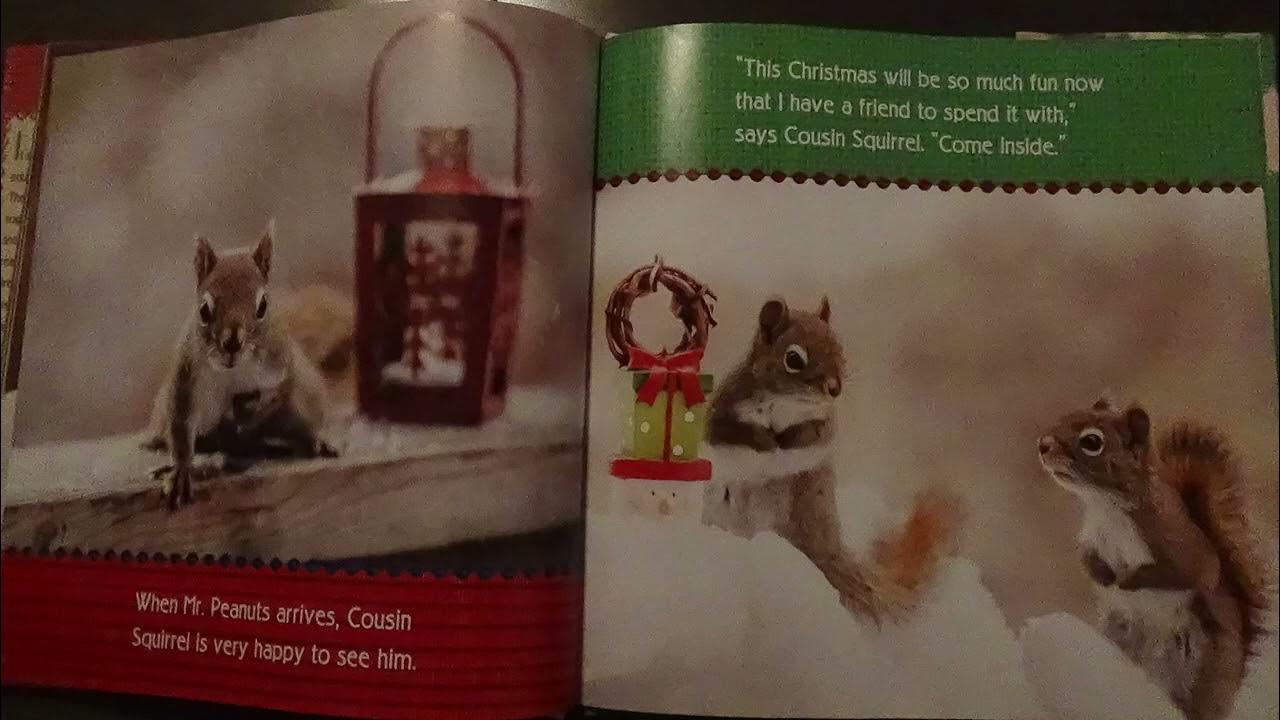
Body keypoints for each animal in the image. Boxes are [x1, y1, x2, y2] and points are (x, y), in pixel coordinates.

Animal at [142, 222, 335, 510]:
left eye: (263, 306)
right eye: (204, 309)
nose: (232, 343)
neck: (233, 371)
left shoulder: (281, 364)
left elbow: (279, 391)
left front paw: (250, 410)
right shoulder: (186, 379)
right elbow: (181, 426)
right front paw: (181, 471)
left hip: (304, 399)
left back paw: (314, 442)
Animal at [702, 296, 961, 625]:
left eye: (838, 346)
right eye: (793, 358)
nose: (835, 388)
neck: (785, 404)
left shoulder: (824, 423)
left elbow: (812, 436)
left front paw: (788, 441)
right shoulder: (726, 410)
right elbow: (734, 432)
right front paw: (766, 441)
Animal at [1037, 396, 1273, 720]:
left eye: (1092, 442)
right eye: (1065, 416)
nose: (1042, 445)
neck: (1106, 506)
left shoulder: (1180, 547)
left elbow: (1184, 573)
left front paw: (1126, 581)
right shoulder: (1090, 538)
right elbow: (1086, 560)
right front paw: (1103, 575)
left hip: (1201, 669)